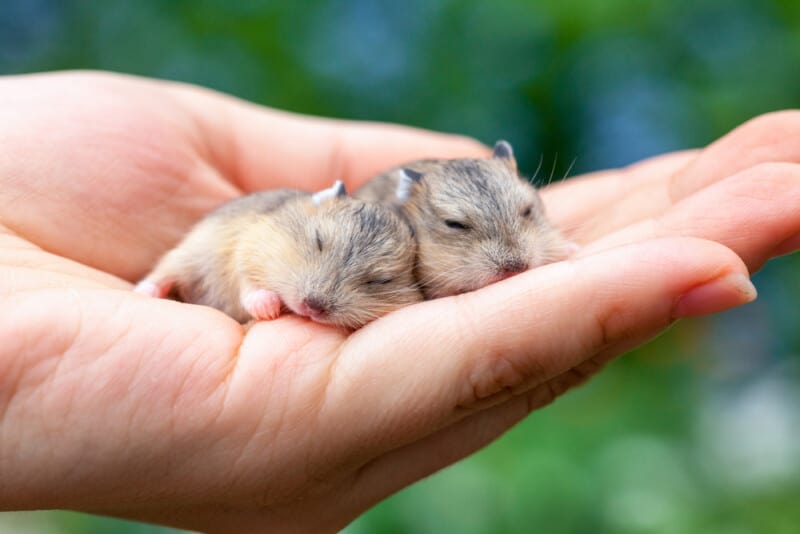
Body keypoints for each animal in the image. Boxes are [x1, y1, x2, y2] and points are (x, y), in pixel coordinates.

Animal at [135, 181, 422, 330]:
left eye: (380, 281)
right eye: (318, 240)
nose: (313, 307)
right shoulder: (245, 250)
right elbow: (249, 286)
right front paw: (269, 311)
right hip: (188, 254)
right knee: (162, 274)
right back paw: (143, 293)